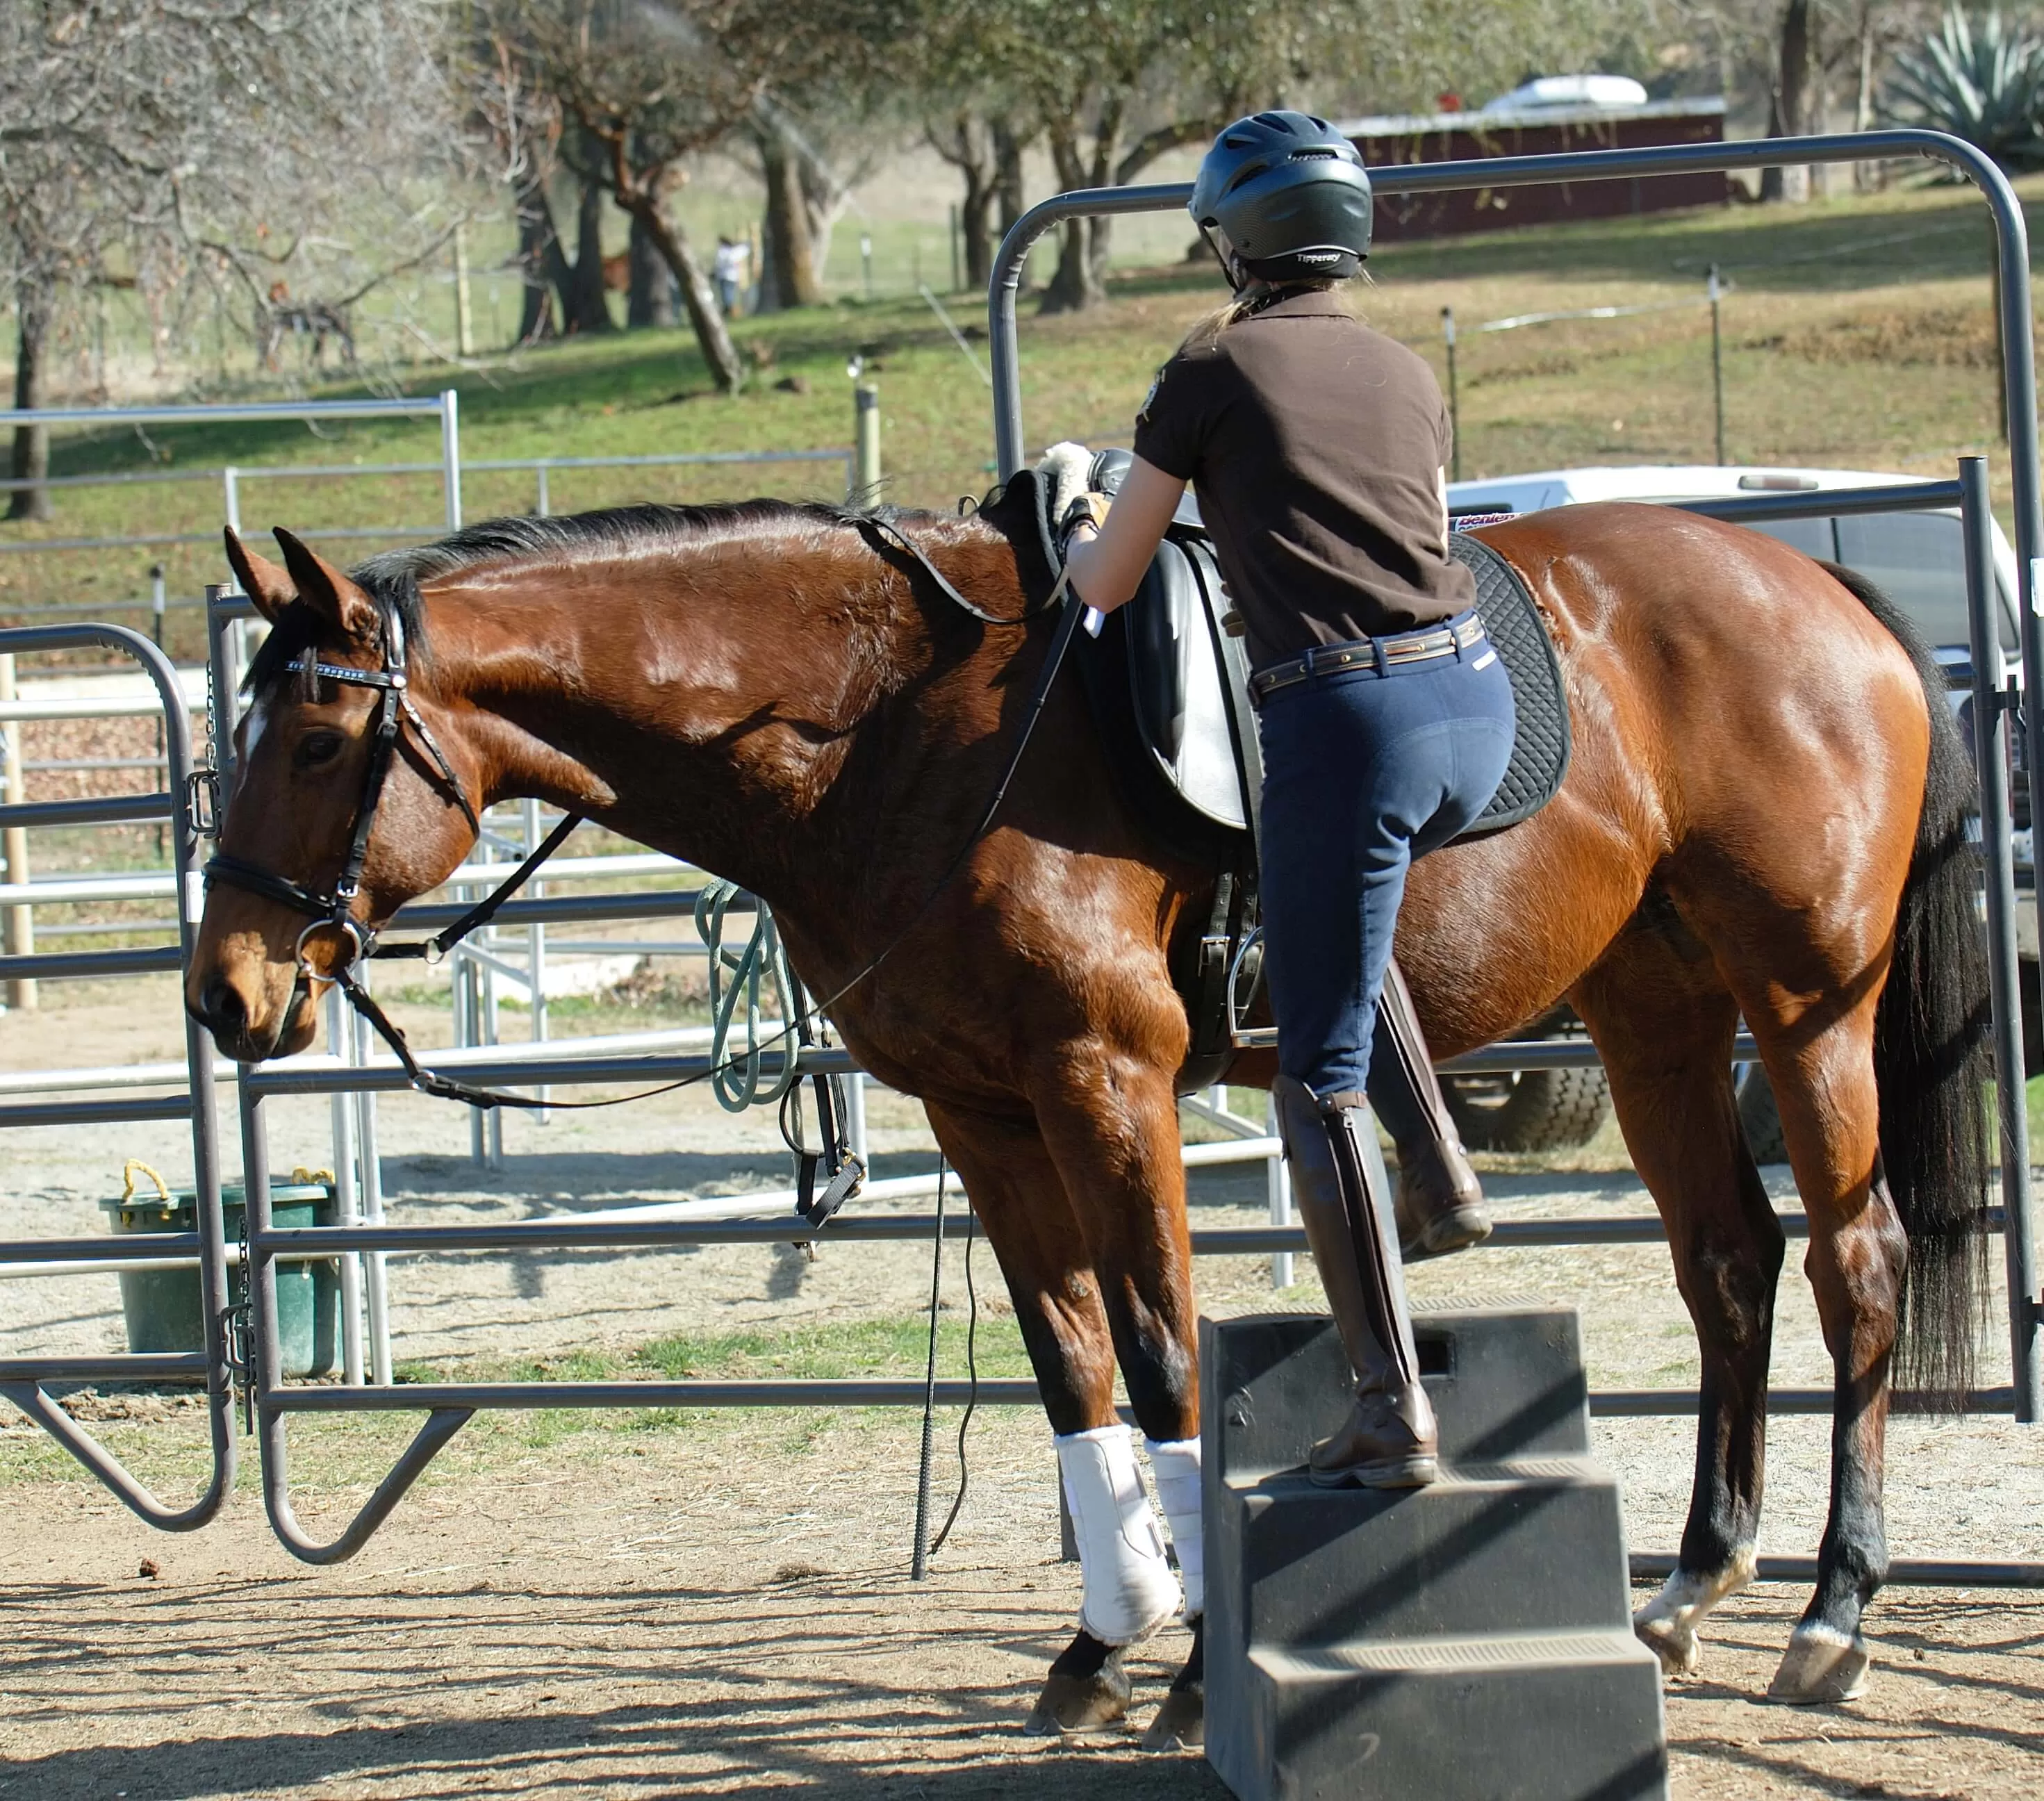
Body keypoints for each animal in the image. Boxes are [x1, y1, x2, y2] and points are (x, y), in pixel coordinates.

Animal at [195, 498, 1995, 1733]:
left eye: (314, 737)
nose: (224, 994)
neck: (896, 727)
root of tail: (1810, 583)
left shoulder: (1103, 1084)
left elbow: (1161, 1354)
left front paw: (1194, 1671)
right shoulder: (984, 1115)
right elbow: (1070, 1370)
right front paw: (1101, 1644)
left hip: (1806, 1010)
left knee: (1855, 1265)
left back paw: (1836, 1610)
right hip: (1657, 1017)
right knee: (1726, 1269)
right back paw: (1693, 1580)